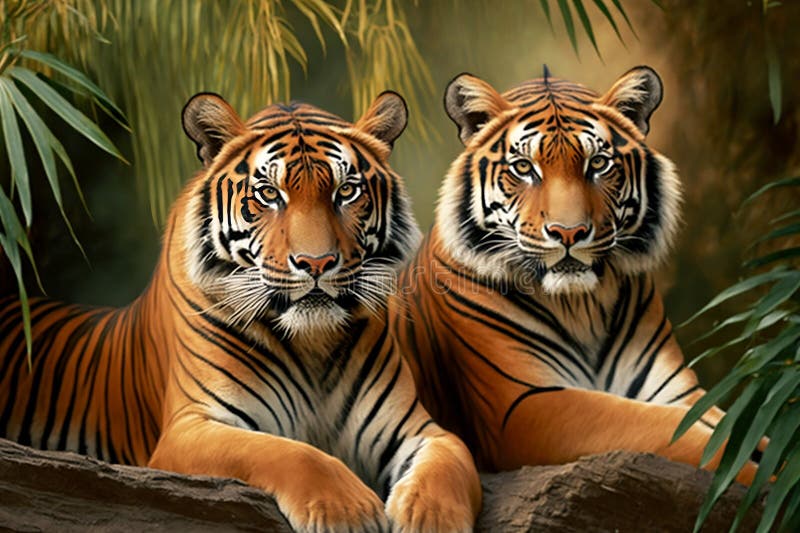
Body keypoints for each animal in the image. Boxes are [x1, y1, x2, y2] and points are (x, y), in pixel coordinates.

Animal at [0, 92, 481, 532]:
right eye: (269, 194)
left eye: (346, 191)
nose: (317, 263)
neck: (312, 341)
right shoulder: (189, 429)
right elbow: (287, 452)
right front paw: (346, 509)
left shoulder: (416, 428)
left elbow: (451, 459)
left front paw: (432, 517)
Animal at [390, 66, 762, 485]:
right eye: (524, 168)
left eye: (598, 164)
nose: (569, 233)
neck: (582, 305)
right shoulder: (524, 404)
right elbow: (677, 432)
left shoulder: (676, 390)